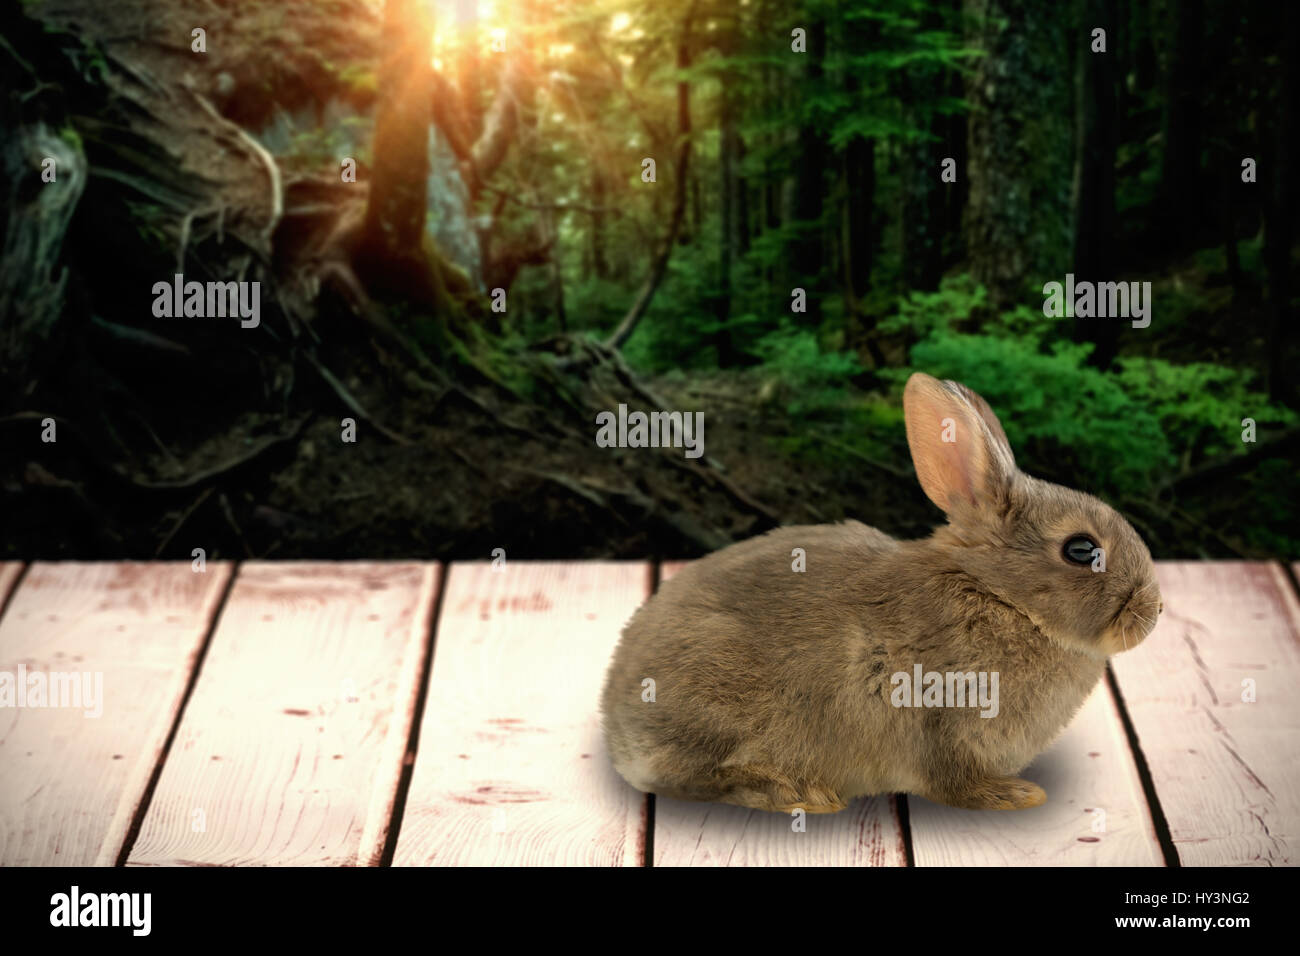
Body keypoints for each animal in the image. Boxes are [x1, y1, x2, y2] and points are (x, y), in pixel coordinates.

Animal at [600, 372, 1162, 813]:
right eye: (1082, 549)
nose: (1153, 611)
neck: (999, 594)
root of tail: (616, 725)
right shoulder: (942, 718)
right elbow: (954, 781)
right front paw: (1014, 796)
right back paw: (794, 792)